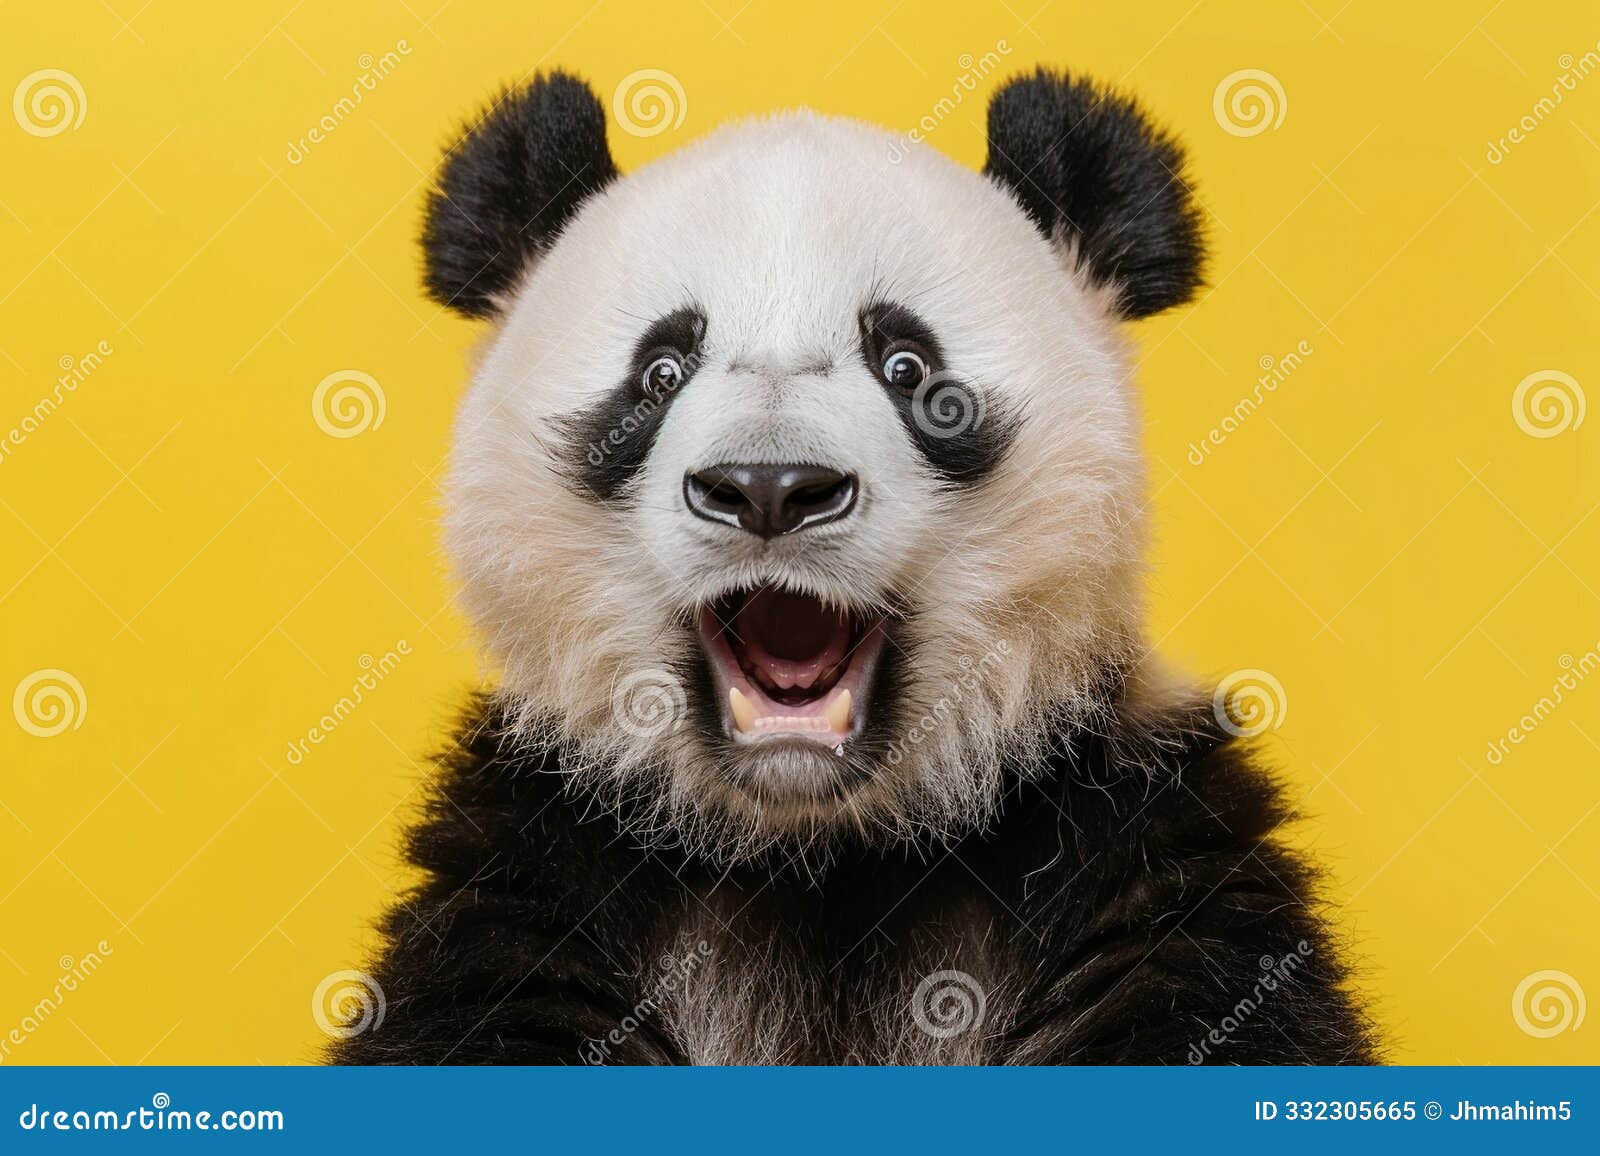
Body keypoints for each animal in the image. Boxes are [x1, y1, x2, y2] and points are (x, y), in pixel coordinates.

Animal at [331, 68, 1380, 1065]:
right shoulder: (536, 873)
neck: (822, 855)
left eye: (909, 367)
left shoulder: (1140, 846)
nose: (768, 488)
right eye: (659, 373)